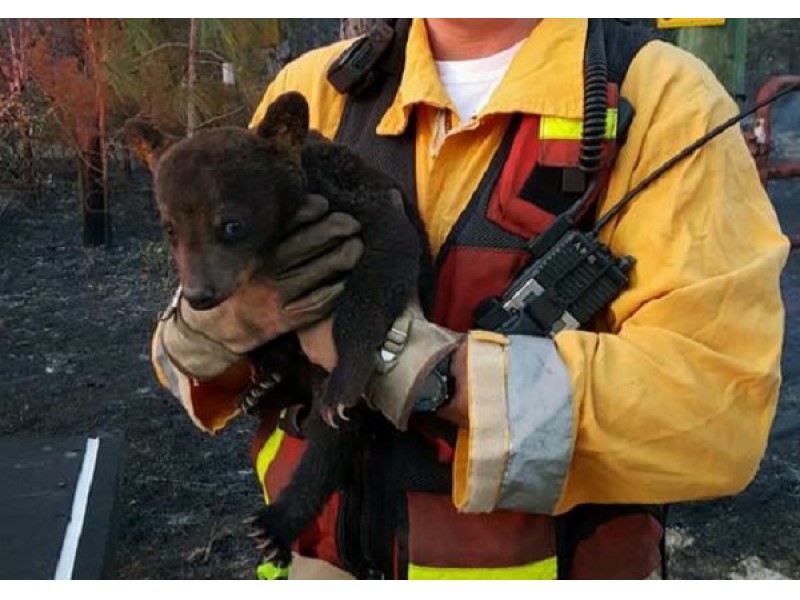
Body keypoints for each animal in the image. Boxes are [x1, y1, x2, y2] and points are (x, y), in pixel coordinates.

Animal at [125, 91, 421, 569]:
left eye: (231, 224)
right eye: (170, 228)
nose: (200, 295)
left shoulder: (362, 202)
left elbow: (386, 262)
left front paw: (344, 380)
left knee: (330, 442)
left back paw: (275, 524)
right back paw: (263, 388)